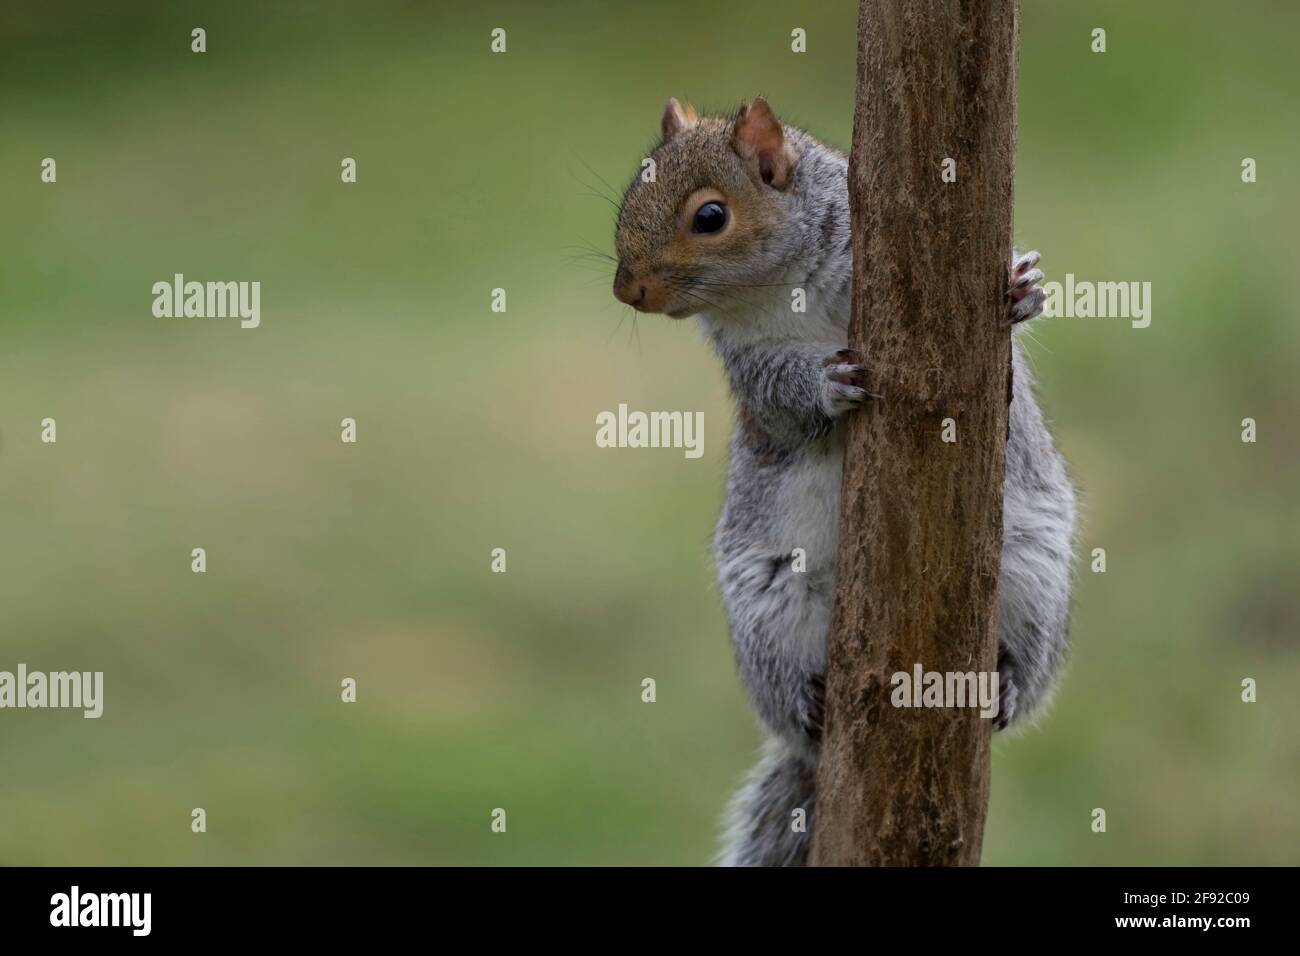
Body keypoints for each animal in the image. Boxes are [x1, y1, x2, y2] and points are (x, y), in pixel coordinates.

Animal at [612, 97, 1077, 866]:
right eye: (628, 195)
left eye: (709, 216)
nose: (627, 290)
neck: (784, 285)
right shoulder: (750, 363)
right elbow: (781, 399)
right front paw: (827, 388)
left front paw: (1020, 290)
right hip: (770, 613)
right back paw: (810, 703)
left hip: (1034, 578)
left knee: (1027, 671)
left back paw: (1008, 684)